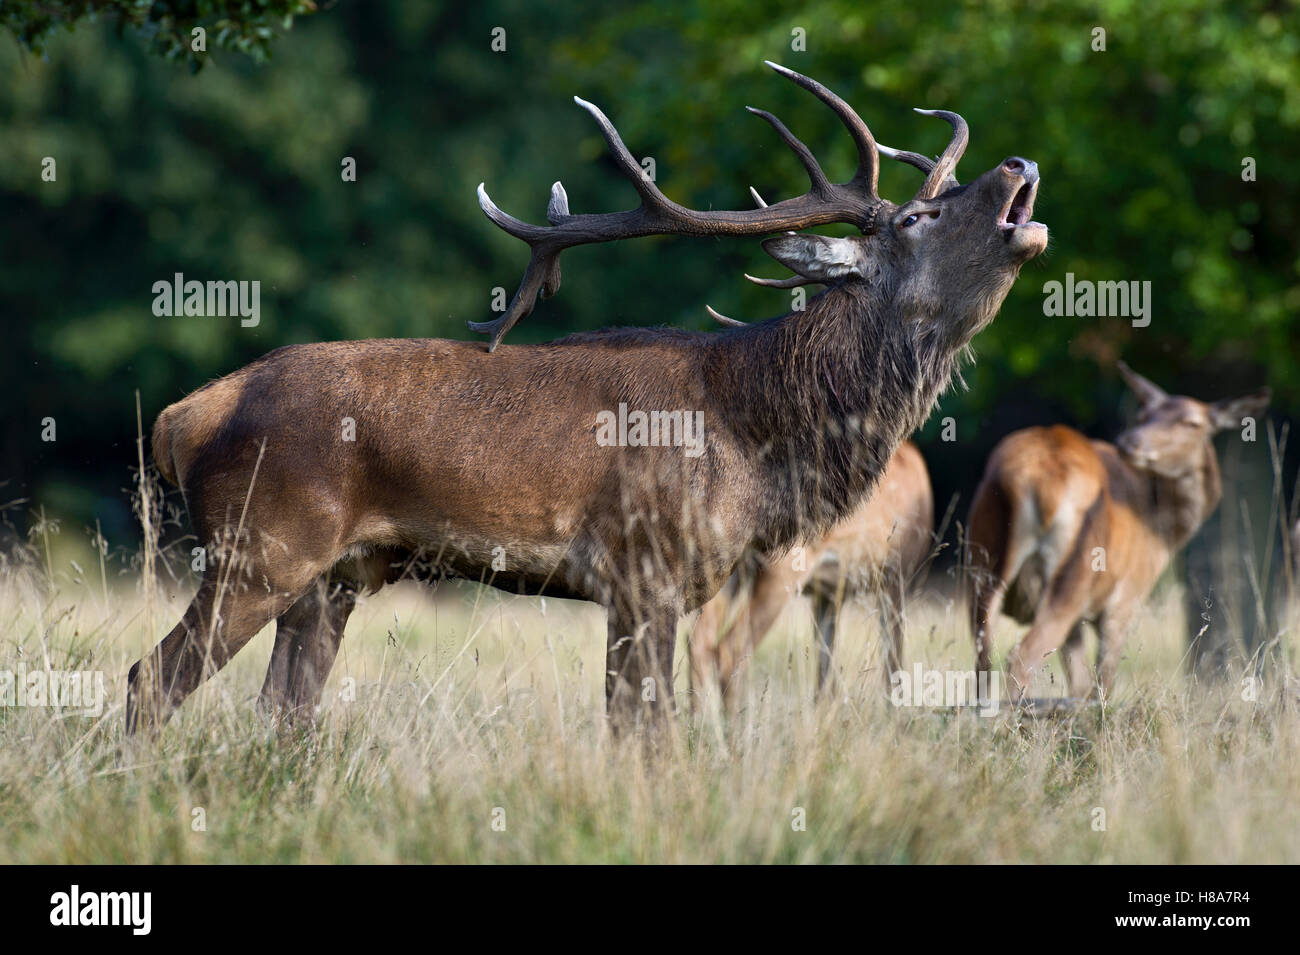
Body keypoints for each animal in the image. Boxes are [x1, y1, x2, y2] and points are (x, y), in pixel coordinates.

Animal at [689, 440, 932, 704]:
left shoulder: (827, 594)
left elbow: (825, 673)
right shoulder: (897, 576)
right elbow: (893, 667)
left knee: (699, 644)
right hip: (781, 572)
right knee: (730, 649)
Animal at [966, 362, 1270, 702]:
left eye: (1192, 423)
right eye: (1144, 414)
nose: (1130, 441)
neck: (1165, 532)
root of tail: (1032, 476)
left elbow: (1080, 684)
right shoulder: (1126, 600)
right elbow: (1102, 683)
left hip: (981, 558)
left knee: (983, 657)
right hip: (1074, 575)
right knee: (1022, 655)